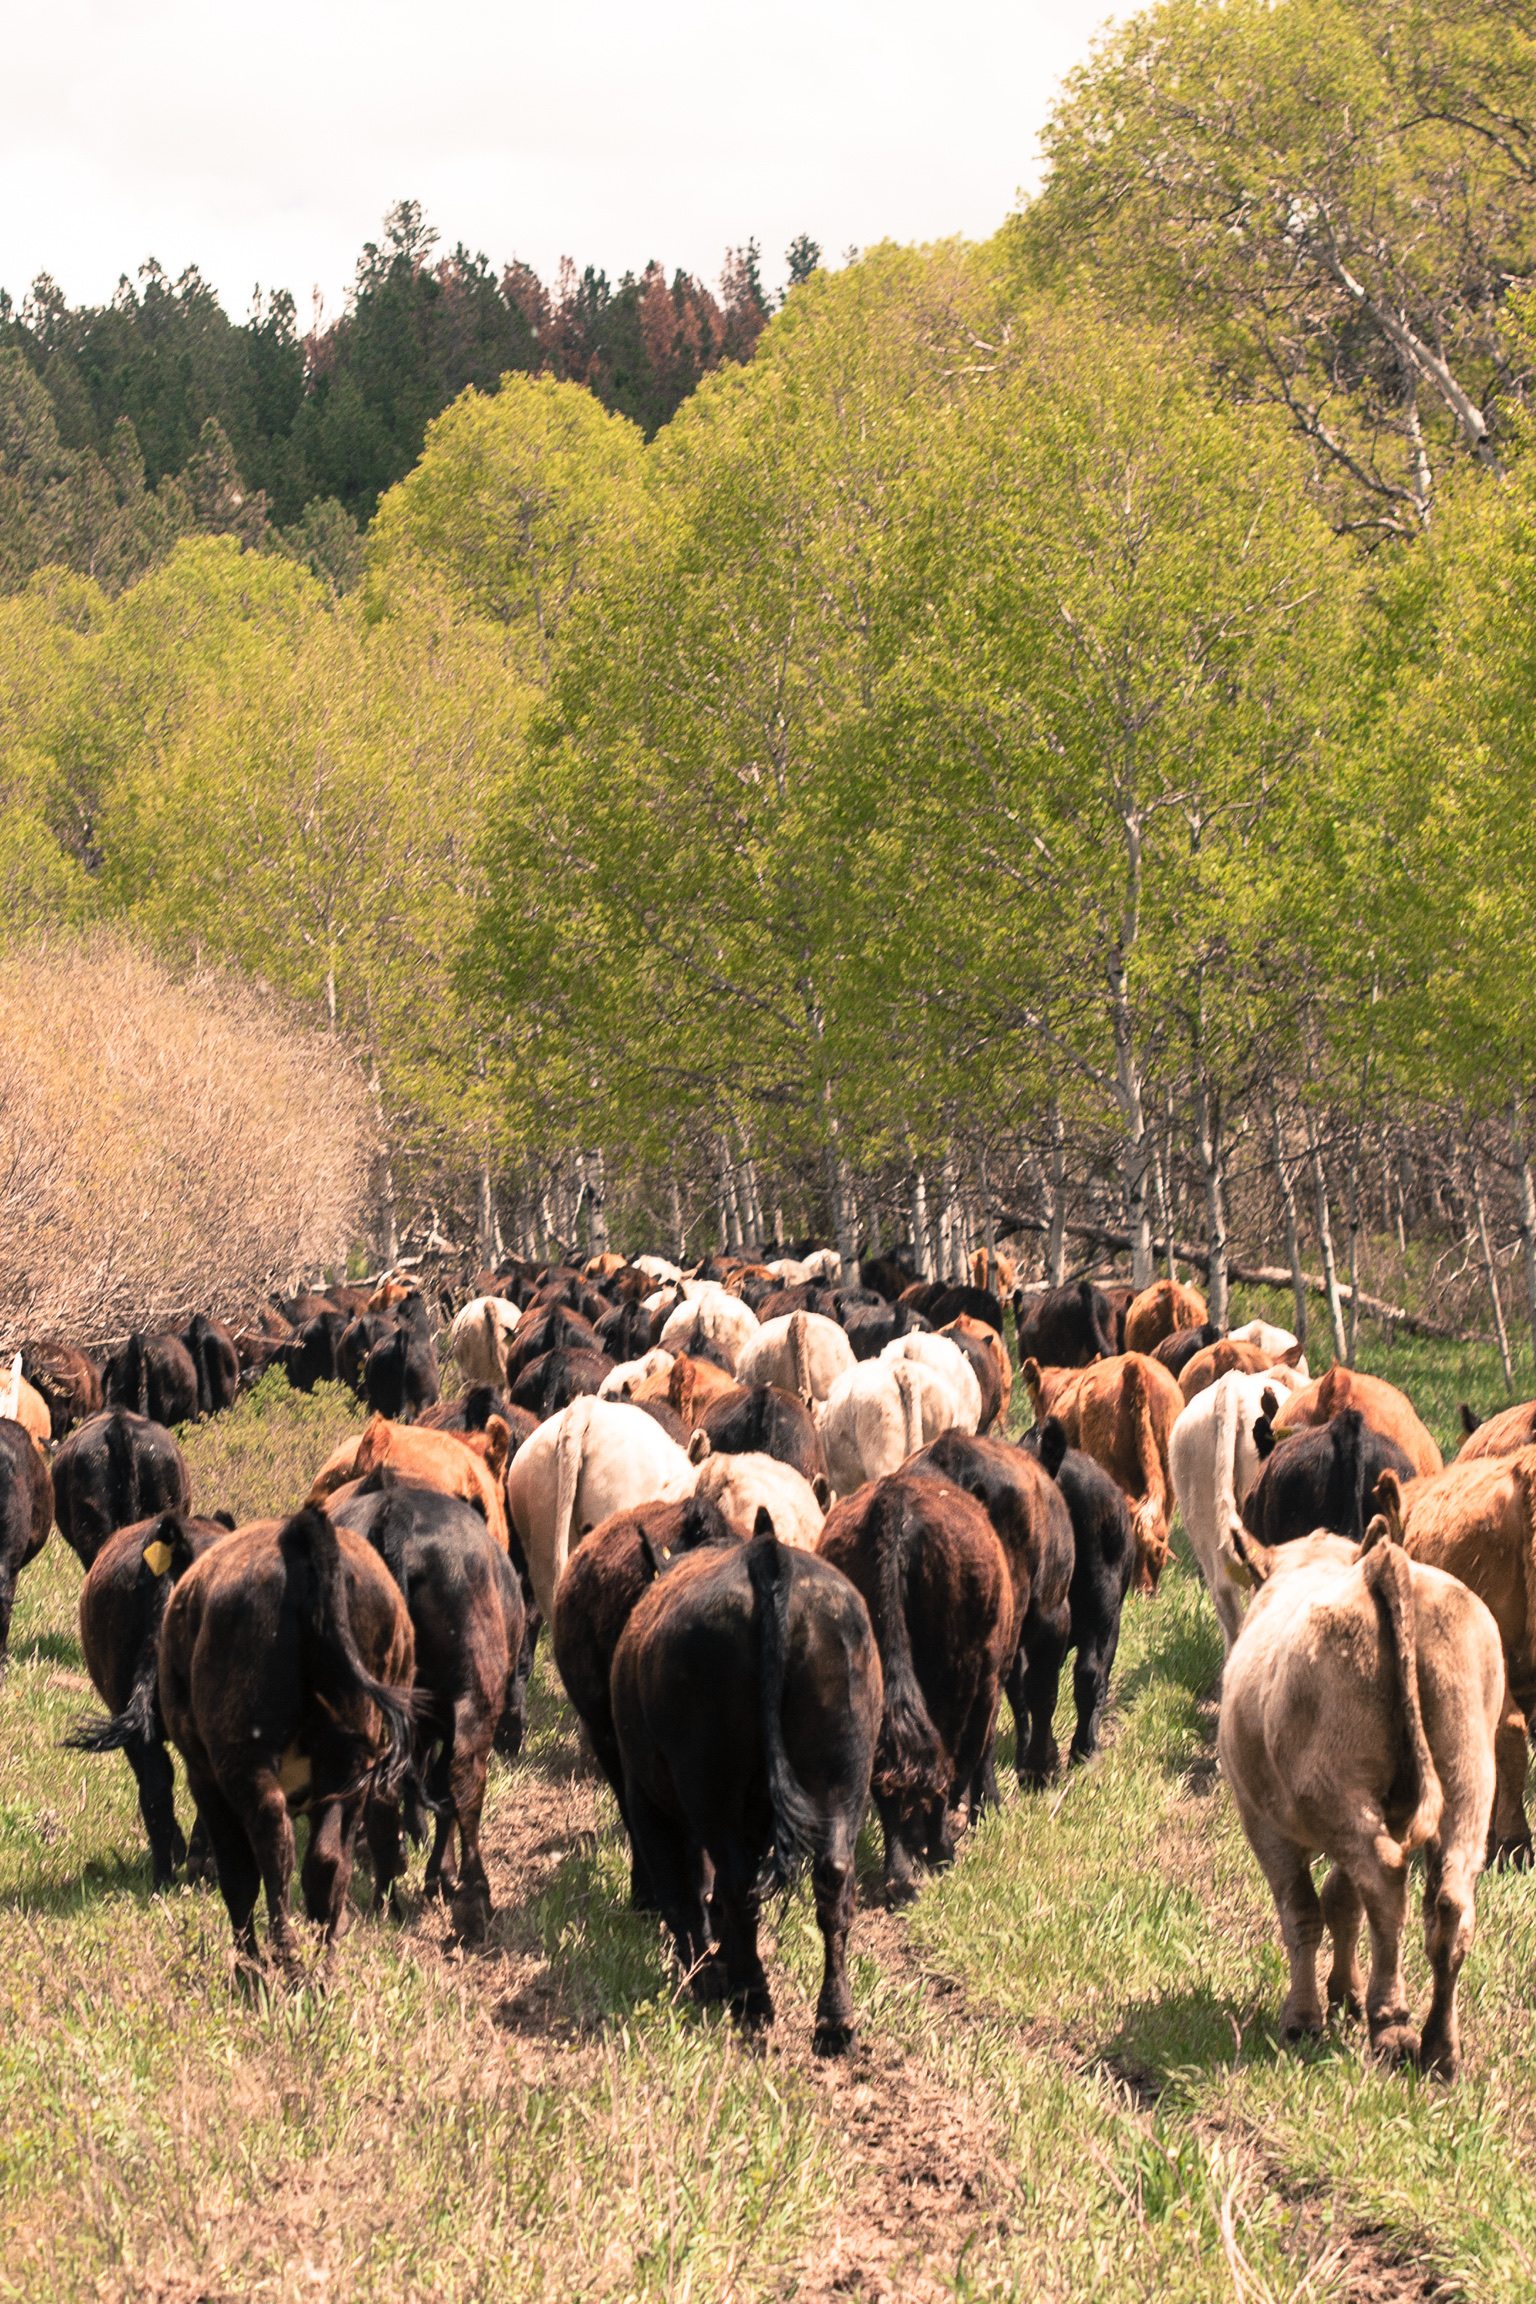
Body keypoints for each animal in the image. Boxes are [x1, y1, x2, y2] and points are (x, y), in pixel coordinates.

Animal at [159, 1506, 418, 1982]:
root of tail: (299, 1533)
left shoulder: (203, 1775)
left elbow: (237, 1871)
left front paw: (246, 1962)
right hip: (350, 1758)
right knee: (326, 1861)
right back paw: (320, 1964)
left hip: (244, 1755)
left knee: (269, 1844)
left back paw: (279, 1958)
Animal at [336, 1477, 525, 1939]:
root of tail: (396, 1513)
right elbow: (442, 1789)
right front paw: (442, 1874)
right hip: (475, 1696)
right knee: (463, 1777)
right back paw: (474, 1899)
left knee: (378, 1790)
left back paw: (382, 1895)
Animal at [611, 1510, 880, 2050]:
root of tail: (769, 1559)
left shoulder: (644, 1797)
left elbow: (683, 1892)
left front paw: (708, 1977)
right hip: (843, 1778)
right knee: (833, 1881)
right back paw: (834, 2020)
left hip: (710, 1789)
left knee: (735, 1884)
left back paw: (751, 1997)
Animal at [819, 1472, 1011, 1905]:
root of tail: (893, 1504)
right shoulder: (989, 1682)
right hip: (956, 1677)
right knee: (946, 1758)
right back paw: (939, 1852)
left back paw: (900, 1875)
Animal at [1219, 1524, 1501, 2079]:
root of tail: (1386, 1563)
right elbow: (1341, 1900)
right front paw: (1341, 1991)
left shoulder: (1263, 1823)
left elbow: (1304, 1910)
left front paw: (1305, 2016)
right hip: (1468, 1774)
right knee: (1450, 1903)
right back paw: (1440, 2046)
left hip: (1336, 1788)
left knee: (1386, 1882)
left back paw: (1390, 2023)